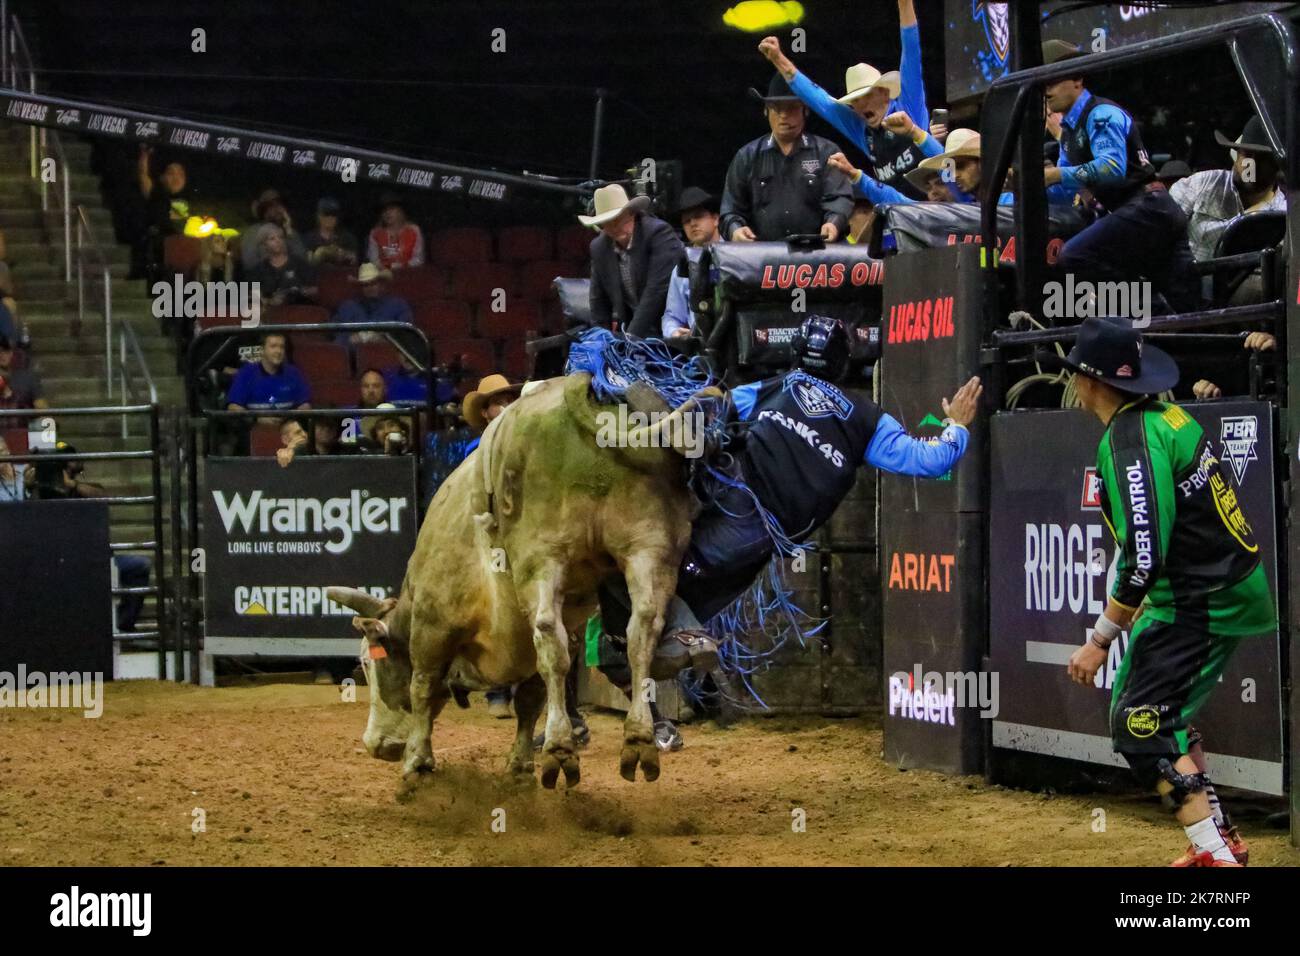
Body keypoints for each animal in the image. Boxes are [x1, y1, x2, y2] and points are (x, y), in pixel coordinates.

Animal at [328, 372, 719, 790]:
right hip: (648, 547)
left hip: (543, 555)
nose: (376, 745)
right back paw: (638, 739)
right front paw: (519, 764)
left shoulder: (434, 624)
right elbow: (531, 696)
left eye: (368, 663)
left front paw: (417, 761)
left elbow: (423, 685)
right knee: (640, 630)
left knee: (549, 634)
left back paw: (560, 748)